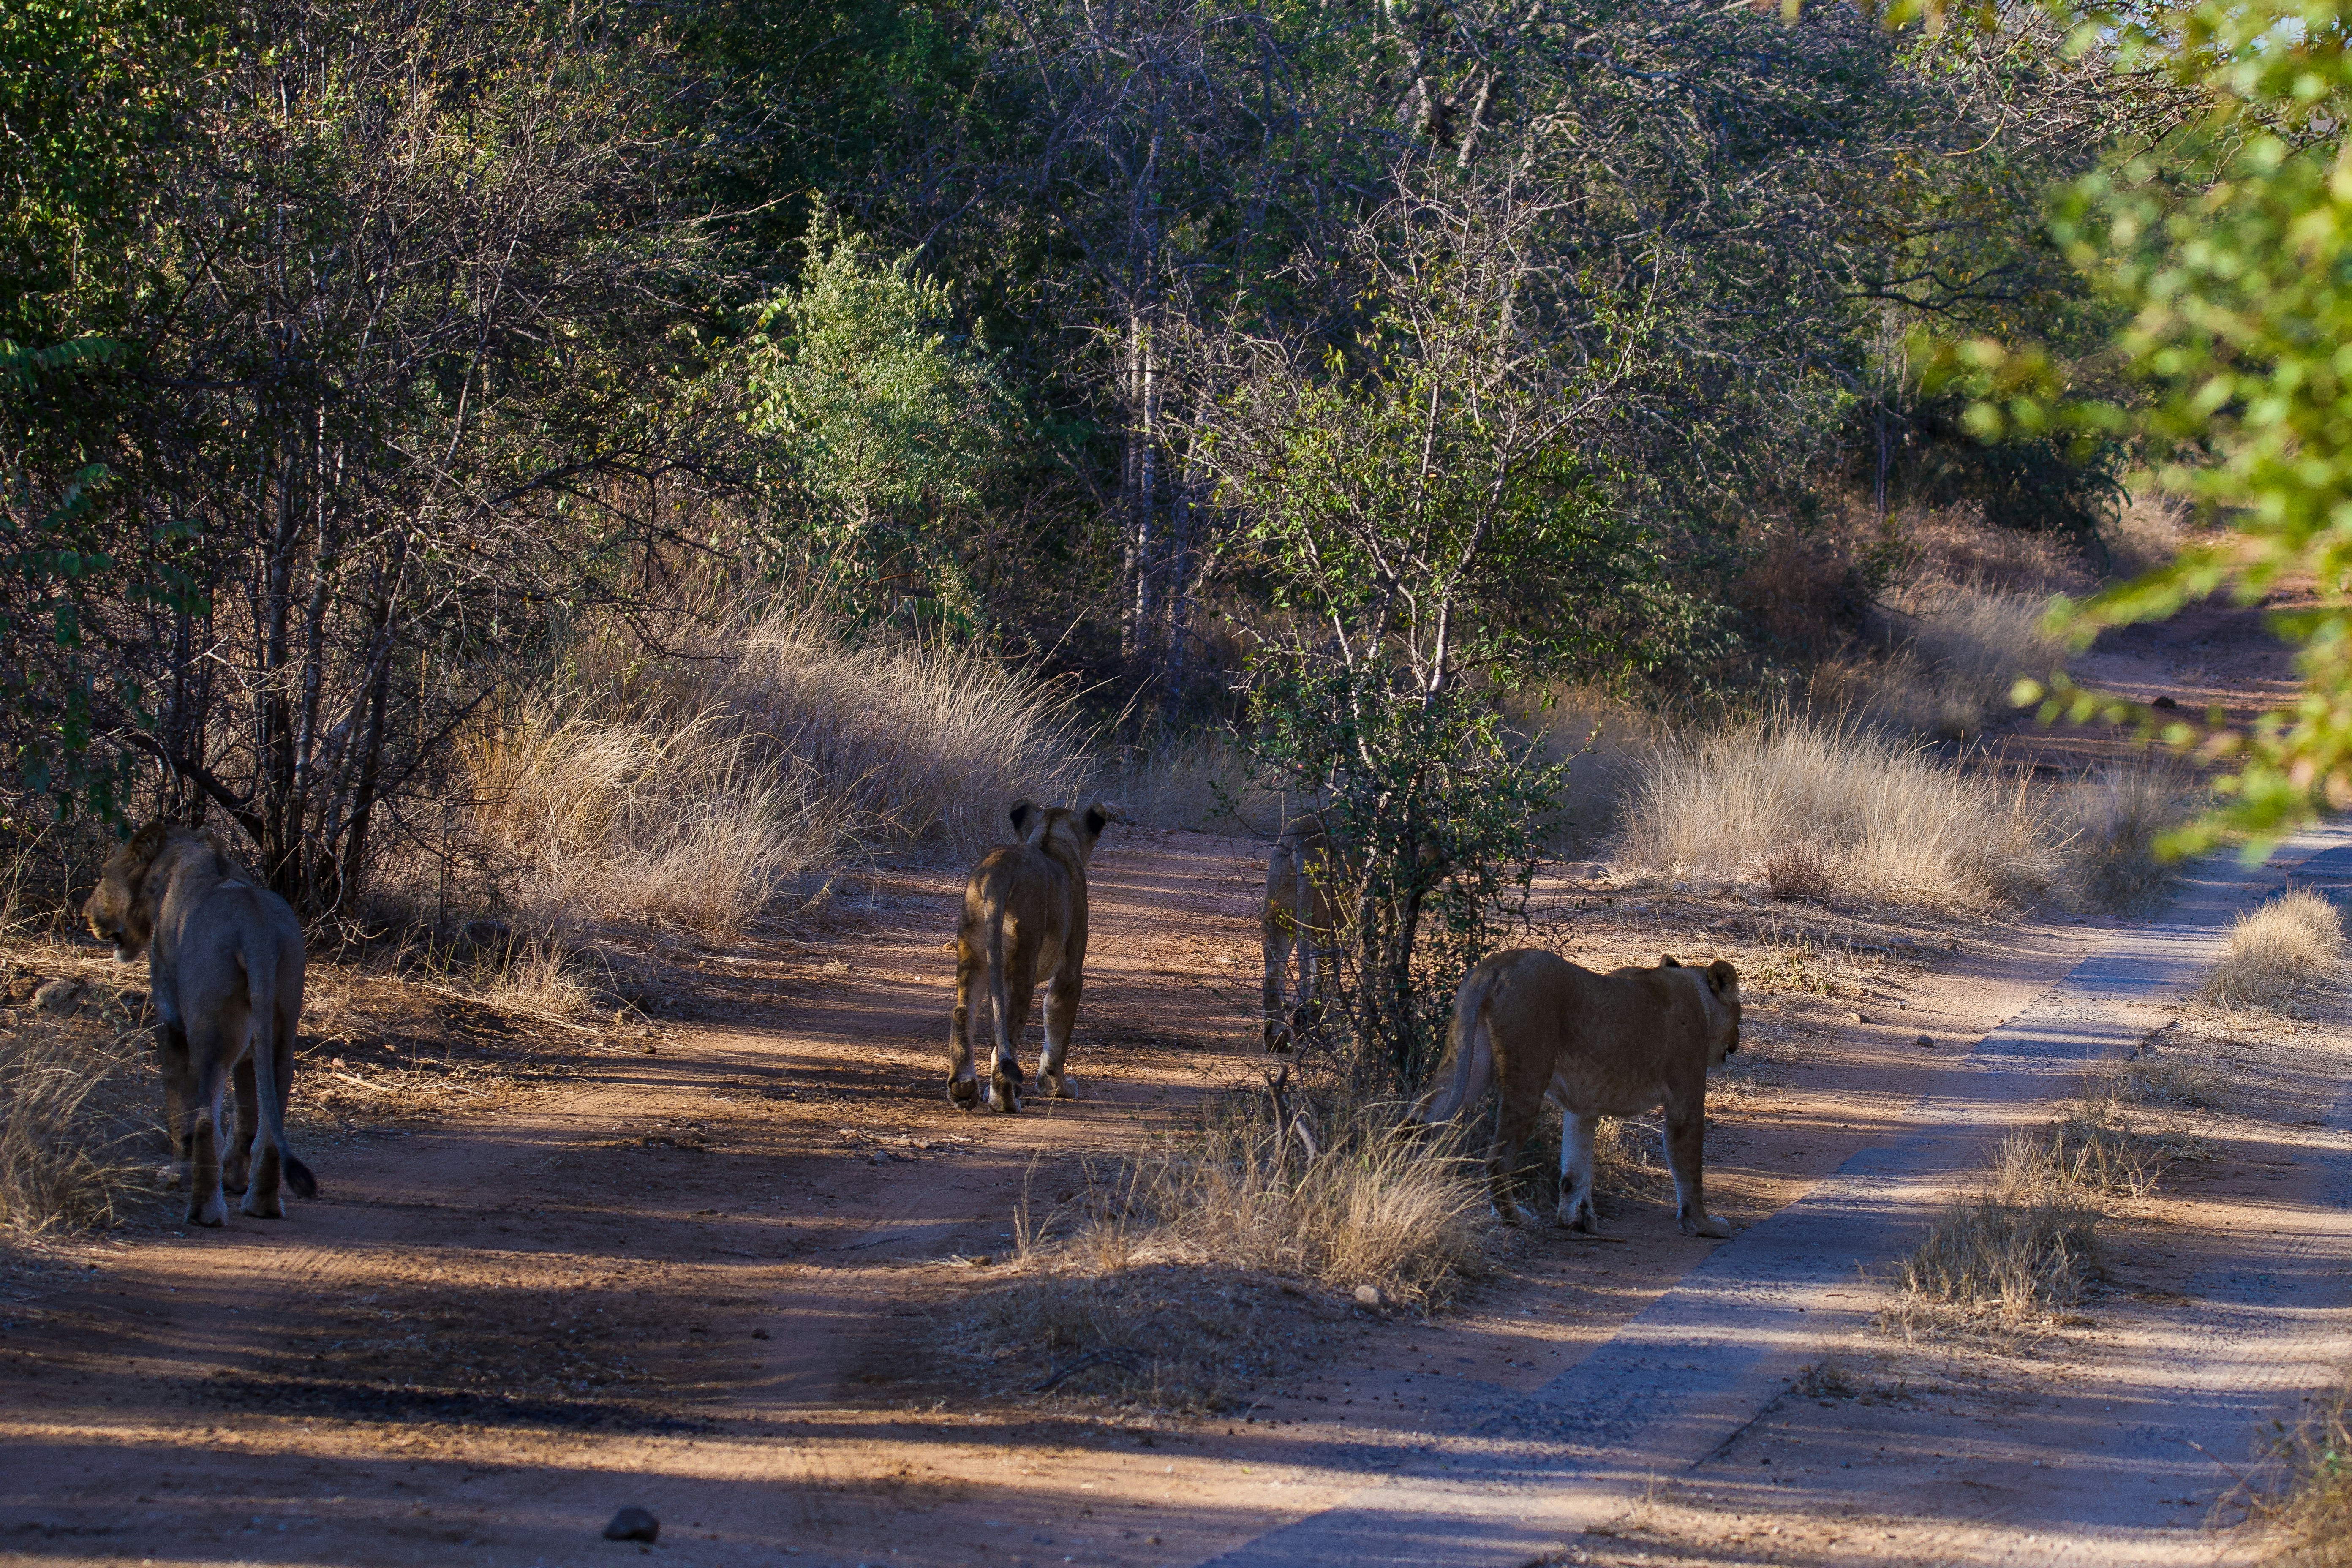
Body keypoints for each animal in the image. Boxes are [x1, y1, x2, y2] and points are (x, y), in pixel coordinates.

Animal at [84, 822, 315, 1227]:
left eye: (104, 874)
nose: (85, 914)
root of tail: (255, 931)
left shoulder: (171, 1022)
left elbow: (179, 1110)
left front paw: (175, 1175)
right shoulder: (250, 1053)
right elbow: (246, 1114)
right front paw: (234, 1179)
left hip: (210, 1034)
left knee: (205, 1121)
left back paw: (204, 1212)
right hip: (280, 1031)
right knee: (269, 1126)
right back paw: (261, 1205)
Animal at [950, 799, 1109, 1113]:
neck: (1051, 839)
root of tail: (1000, 871)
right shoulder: (1070, 972)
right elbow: (1058, 1033)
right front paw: (1058, 1087)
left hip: (973, 954)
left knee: (964, 1013)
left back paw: (964, 1090)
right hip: (1022, 960)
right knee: (1009, 1033)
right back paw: (1005, 1102)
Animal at [1411, 949, 1741, 1237]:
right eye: (1739, 1015)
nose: (1737, 1042)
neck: (1697, 995)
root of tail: (1499, 965)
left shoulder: (1583, 1106)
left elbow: (1575, 1168)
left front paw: (1576, 1220)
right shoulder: (1685, 1097)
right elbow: (1690, 1170)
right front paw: (1704, 1225)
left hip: (1465, 1065)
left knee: (1420, 1117)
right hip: (1528, 1076)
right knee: (1496, 1158)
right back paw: (1514, 1217)